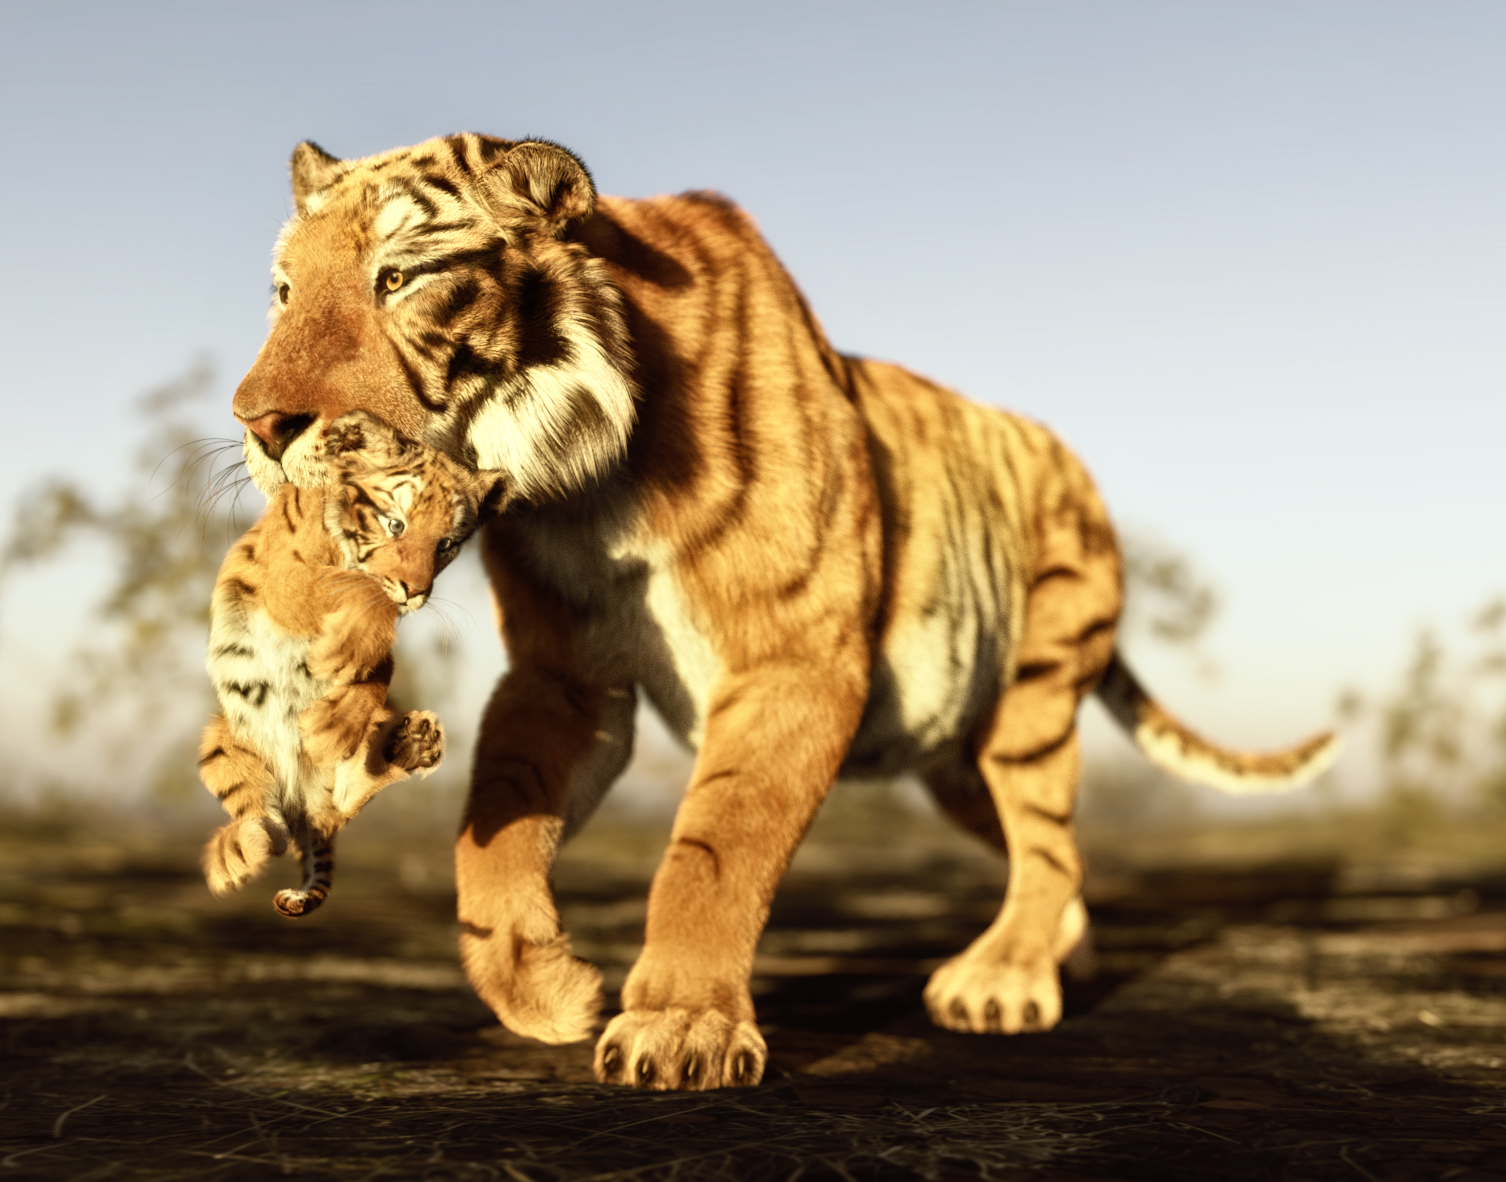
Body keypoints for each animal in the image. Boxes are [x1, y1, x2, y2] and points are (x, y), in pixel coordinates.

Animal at [199, 410, 496, 917]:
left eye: (447, 544)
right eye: (396, 525)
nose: (417, 591)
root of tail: (305, 809)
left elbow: (377, 663)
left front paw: (333, 720)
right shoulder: (288, 578)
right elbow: (365, 587)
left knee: (342, 800)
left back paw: (414, 743)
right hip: (221, 738)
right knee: (264, 821)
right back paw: (238, 852)